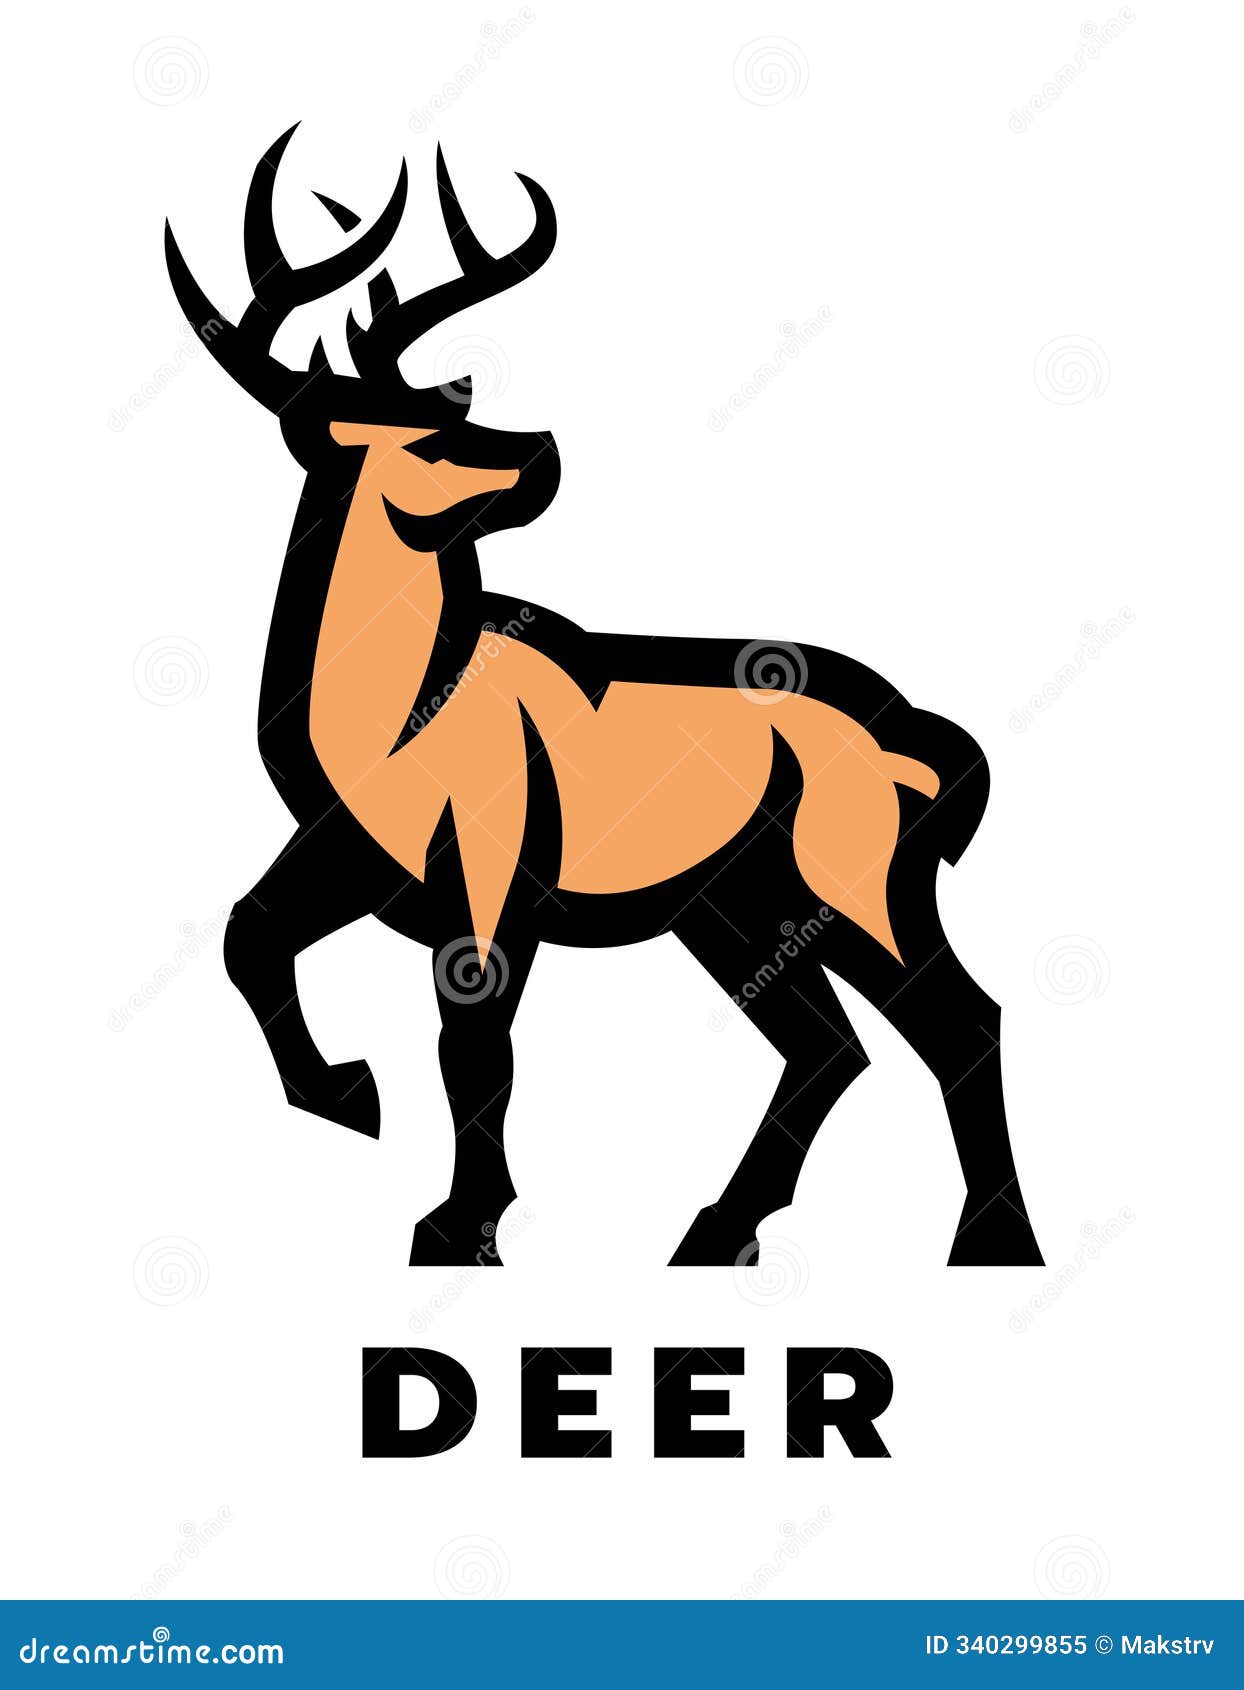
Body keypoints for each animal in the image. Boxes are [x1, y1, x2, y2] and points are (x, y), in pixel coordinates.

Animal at [165, 125, 1043, 1272]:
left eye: (451, 403)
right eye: (428, 433)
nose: (541, 451)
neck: (400, 718)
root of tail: (926, 741)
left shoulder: (496, 871)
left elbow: (474, 1043)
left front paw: (460, 1227)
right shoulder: (348, 851)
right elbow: (246, 934)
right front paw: (353, 1098)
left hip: (857, 881)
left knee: (960, 1019)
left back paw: (992, 1243)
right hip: (739, 912)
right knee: (828, 1044)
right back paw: (713, 1232)